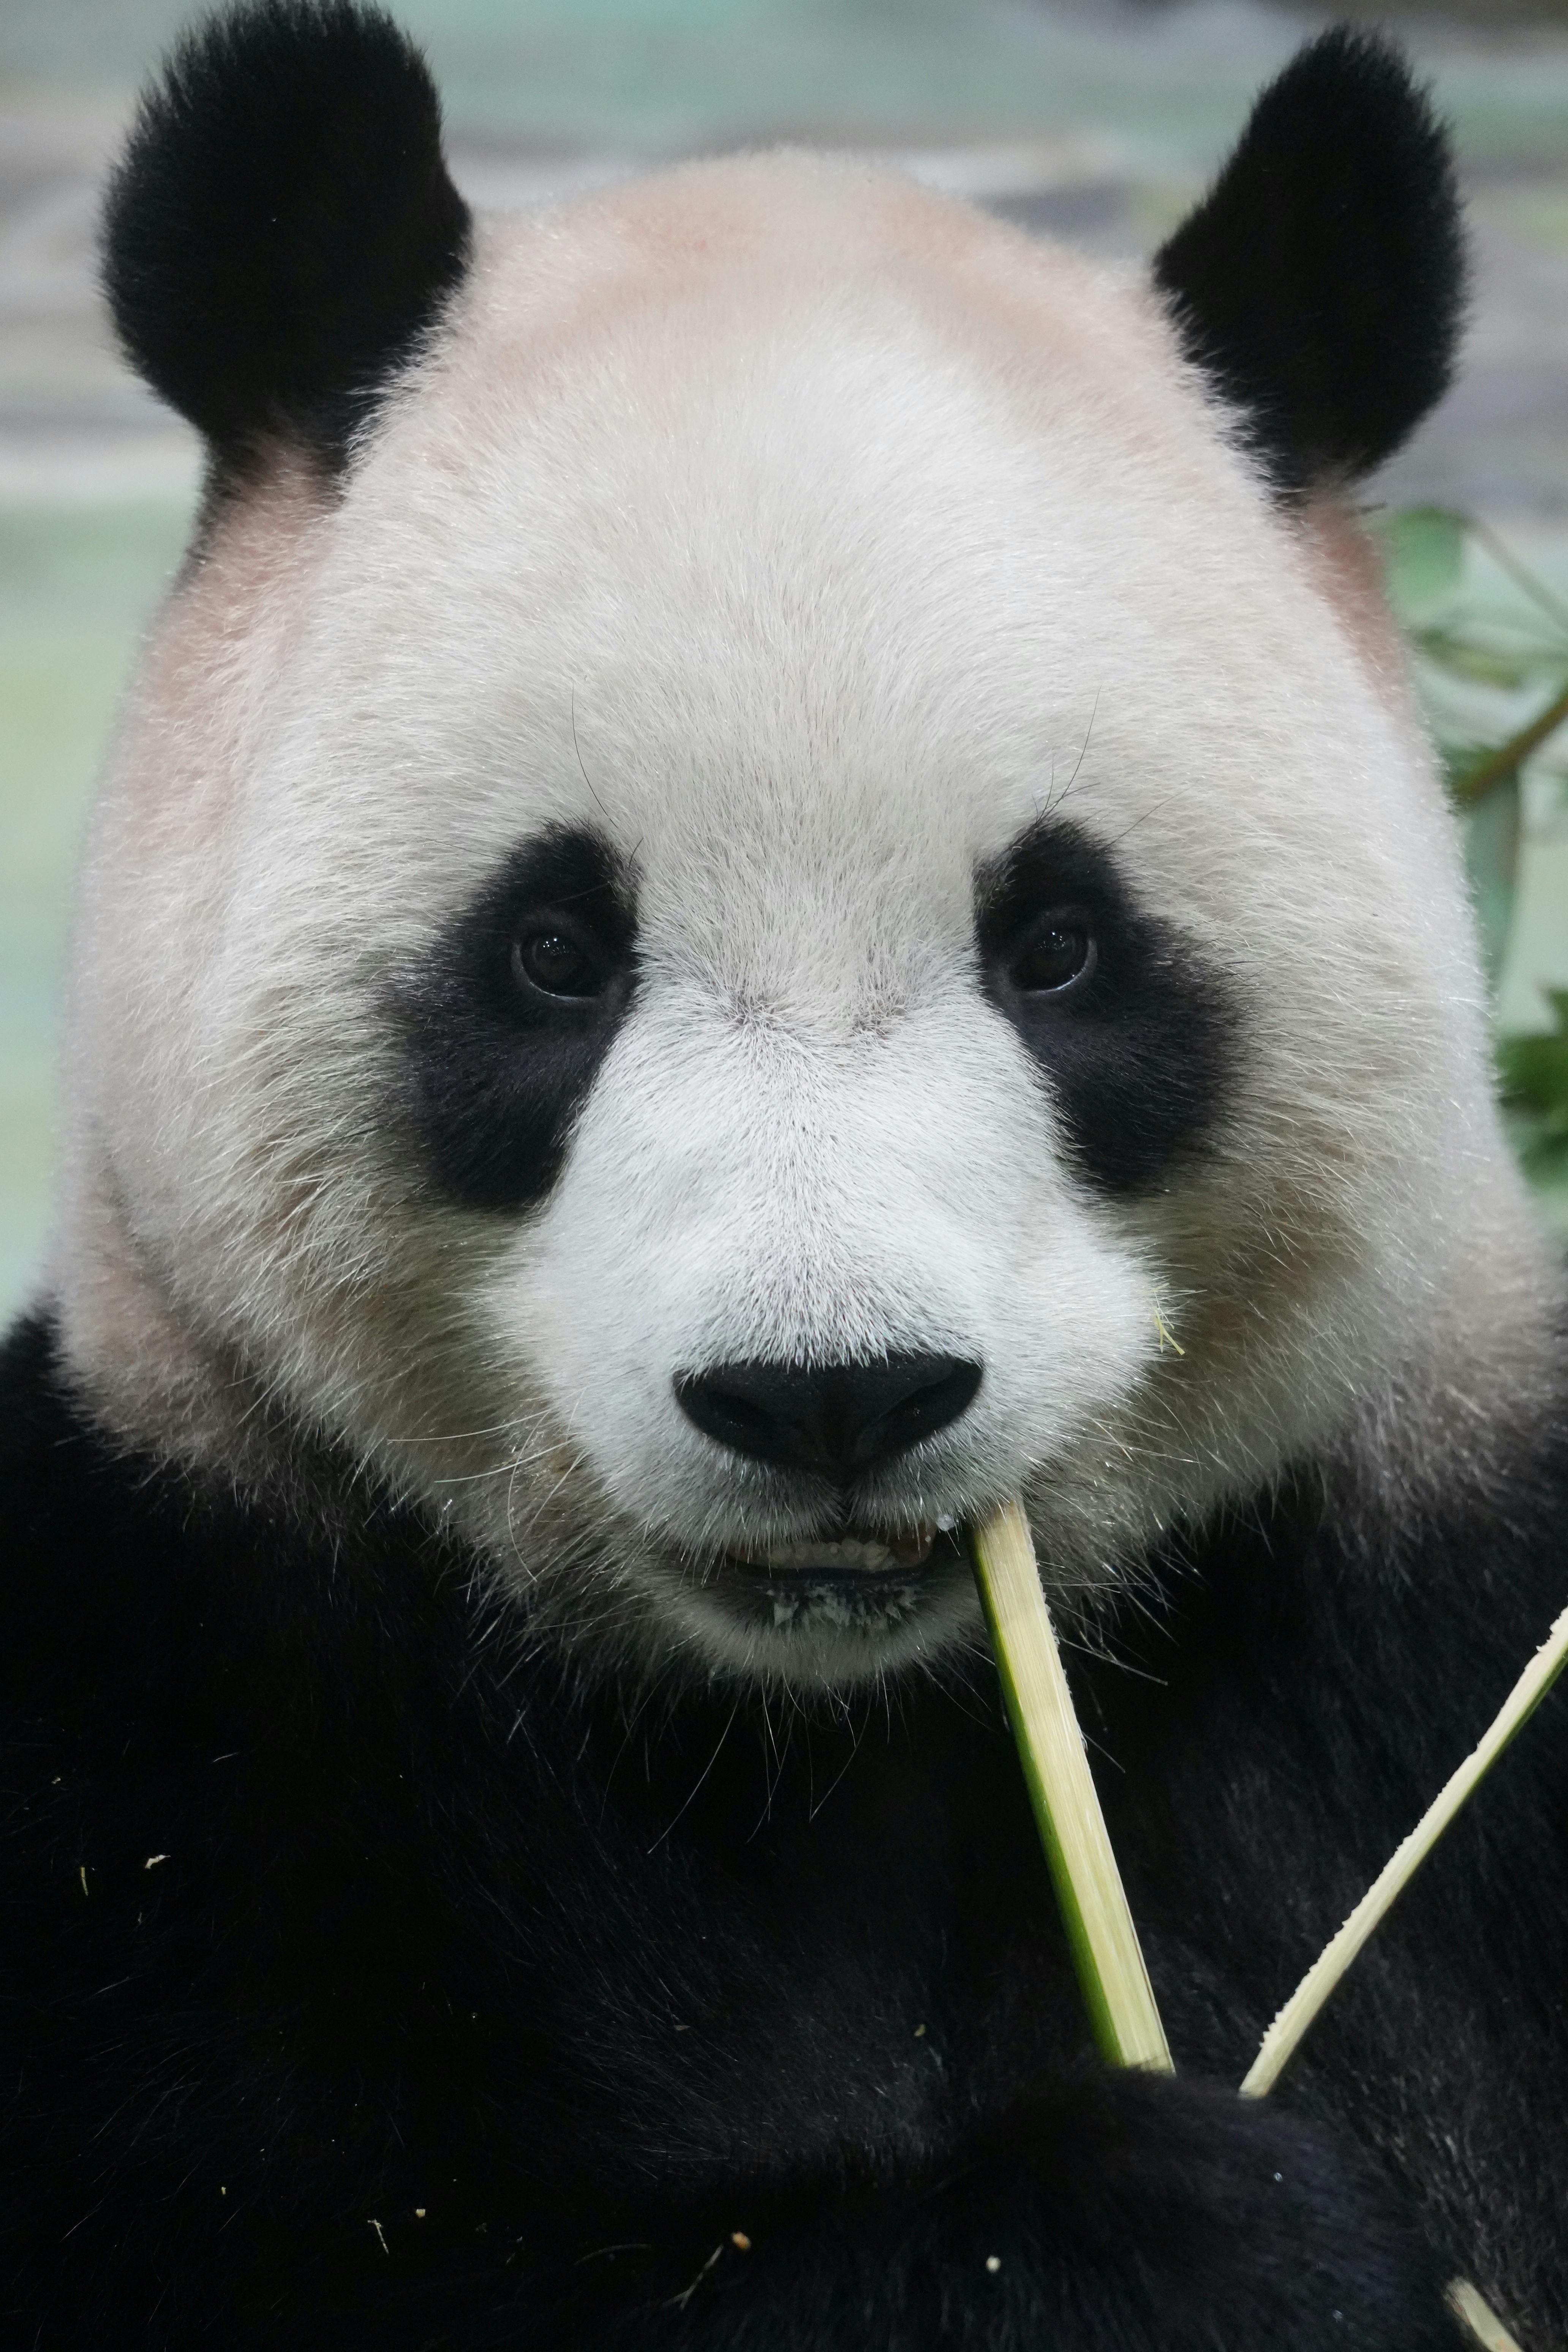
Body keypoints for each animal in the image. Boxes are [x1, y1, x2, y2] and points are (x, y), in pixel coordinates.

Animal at [2, 0, 1564, 2343]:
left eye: (1056, 945)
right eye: (554, 952)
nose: (826, 1393)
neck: (833, 1730)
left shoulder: (1433, 1638)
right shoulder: (170, 1716)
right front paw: (1181, 2236)